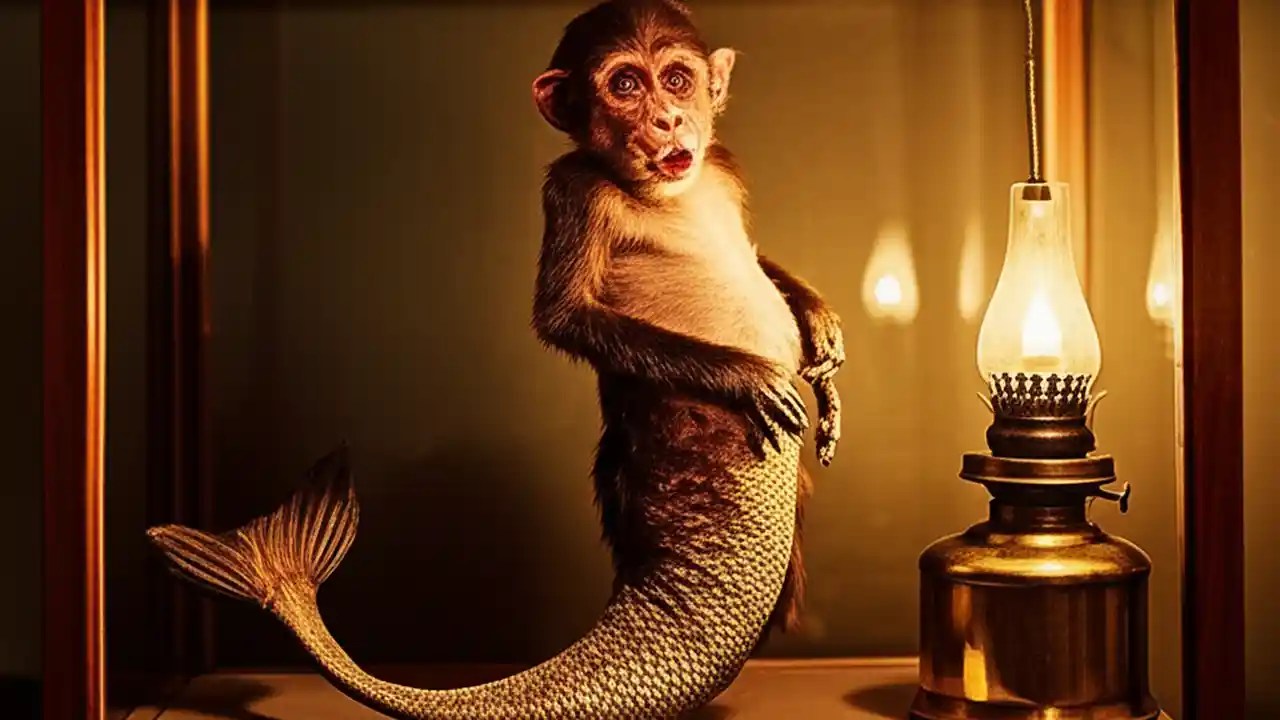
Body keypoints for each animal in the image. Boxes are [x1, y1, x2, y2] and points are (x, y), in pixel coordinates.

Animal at [146, 2, 844, 718]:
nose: (668, 119)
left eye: (677, 79)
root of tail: (279, 580)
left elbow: (758, 257)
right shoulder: (574, 193)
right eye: (625, 86)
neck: (670, 192)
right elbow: (563, 315)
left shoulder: (722, 170)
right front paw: (751, 377)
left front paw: (820, 326)